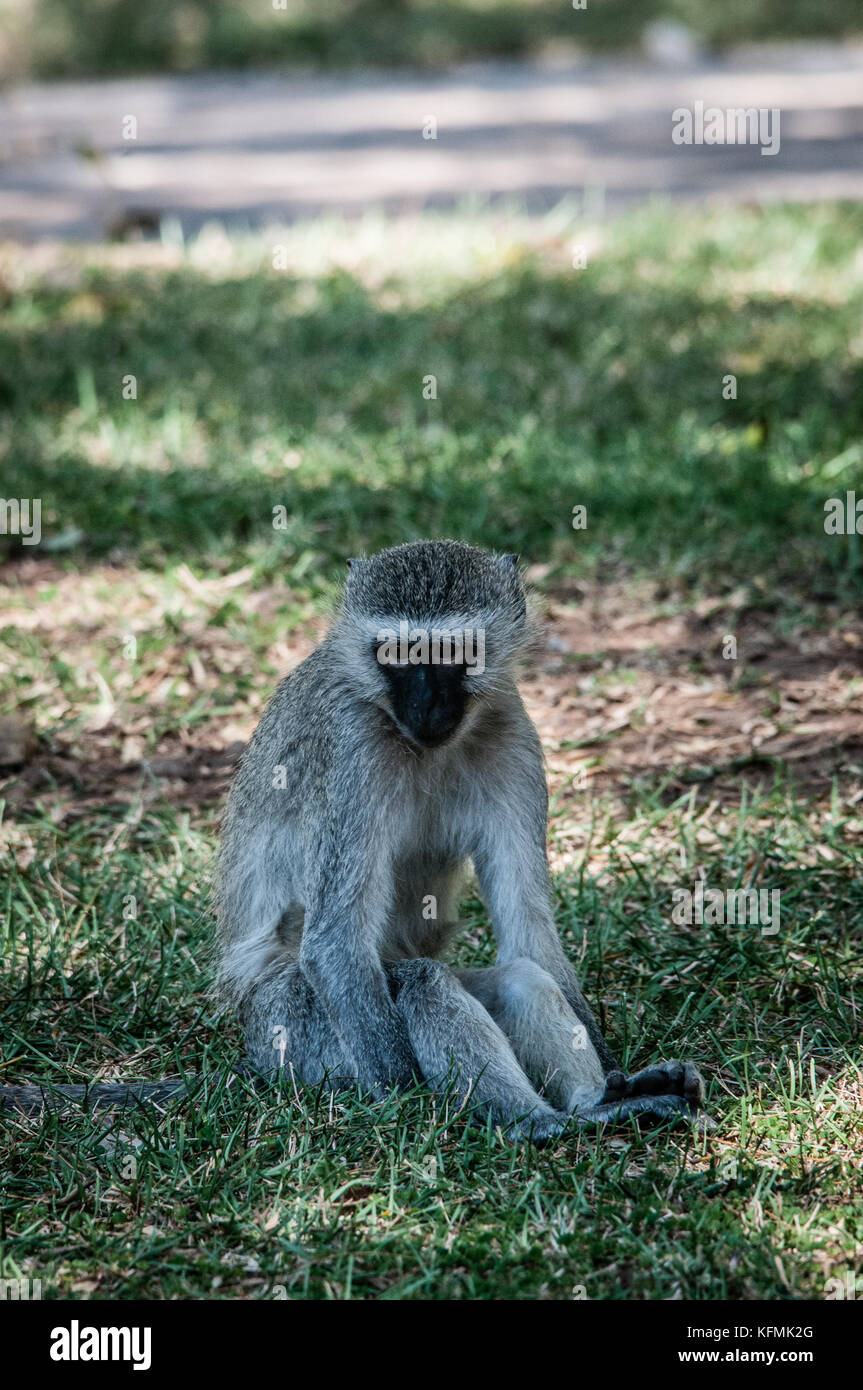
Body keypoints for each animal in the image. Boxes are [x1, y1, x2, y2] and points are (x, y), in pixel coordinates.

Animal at [1, 540, 703, 1136]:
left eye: (457, 655)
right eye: (396, 657)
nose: (426, 708)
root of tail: (253, 1047)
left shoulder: (514, 735)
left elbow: (530, 930)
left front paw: (612, 1075)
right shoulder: (351, 751)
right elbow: (337, 939)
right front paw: (411, 1104)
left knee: (519, 979)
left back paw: (597, 1101)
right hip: (301, 1034)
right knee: (420, 983)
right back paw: (538, 1123)